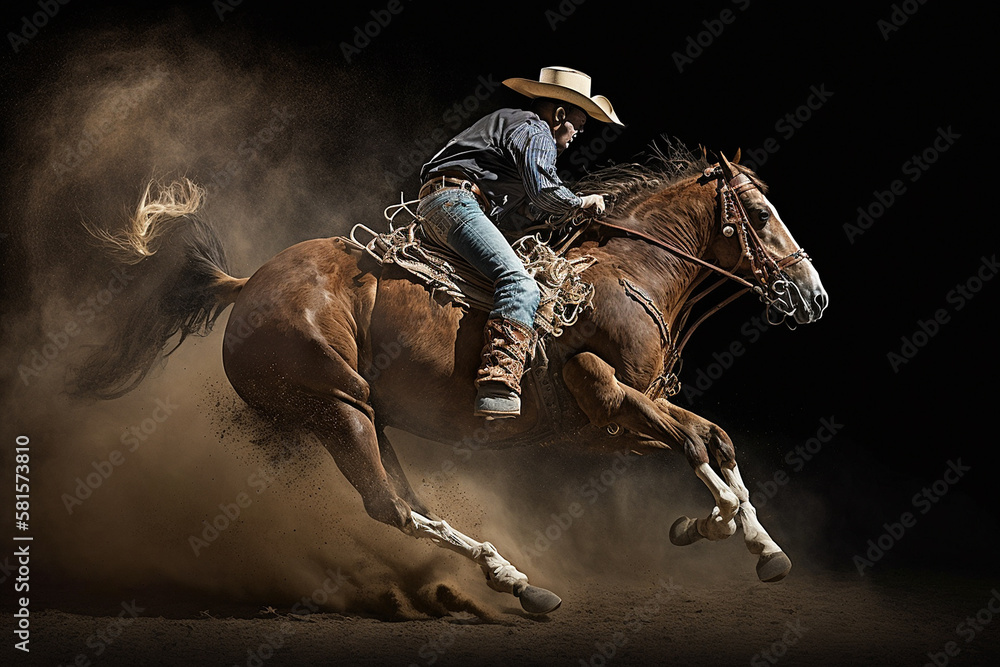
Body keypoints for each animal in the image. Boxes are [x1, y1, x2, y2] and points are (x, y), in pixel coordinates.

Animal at [71, 146, 828, 615]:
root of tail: (247, 283)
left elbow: (716, 439)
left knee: (406, 500)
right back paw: (518, 583)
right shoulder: (607, 391)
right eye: (762, 215)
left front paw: (746, 541)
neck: (625, 277)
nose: (814, 295)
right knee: (391, 507)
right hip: (336, 407)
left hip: (364, 414)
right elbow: (697, 444)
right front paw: (726, 528)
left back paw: (515, 580)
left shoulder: (605, 427)